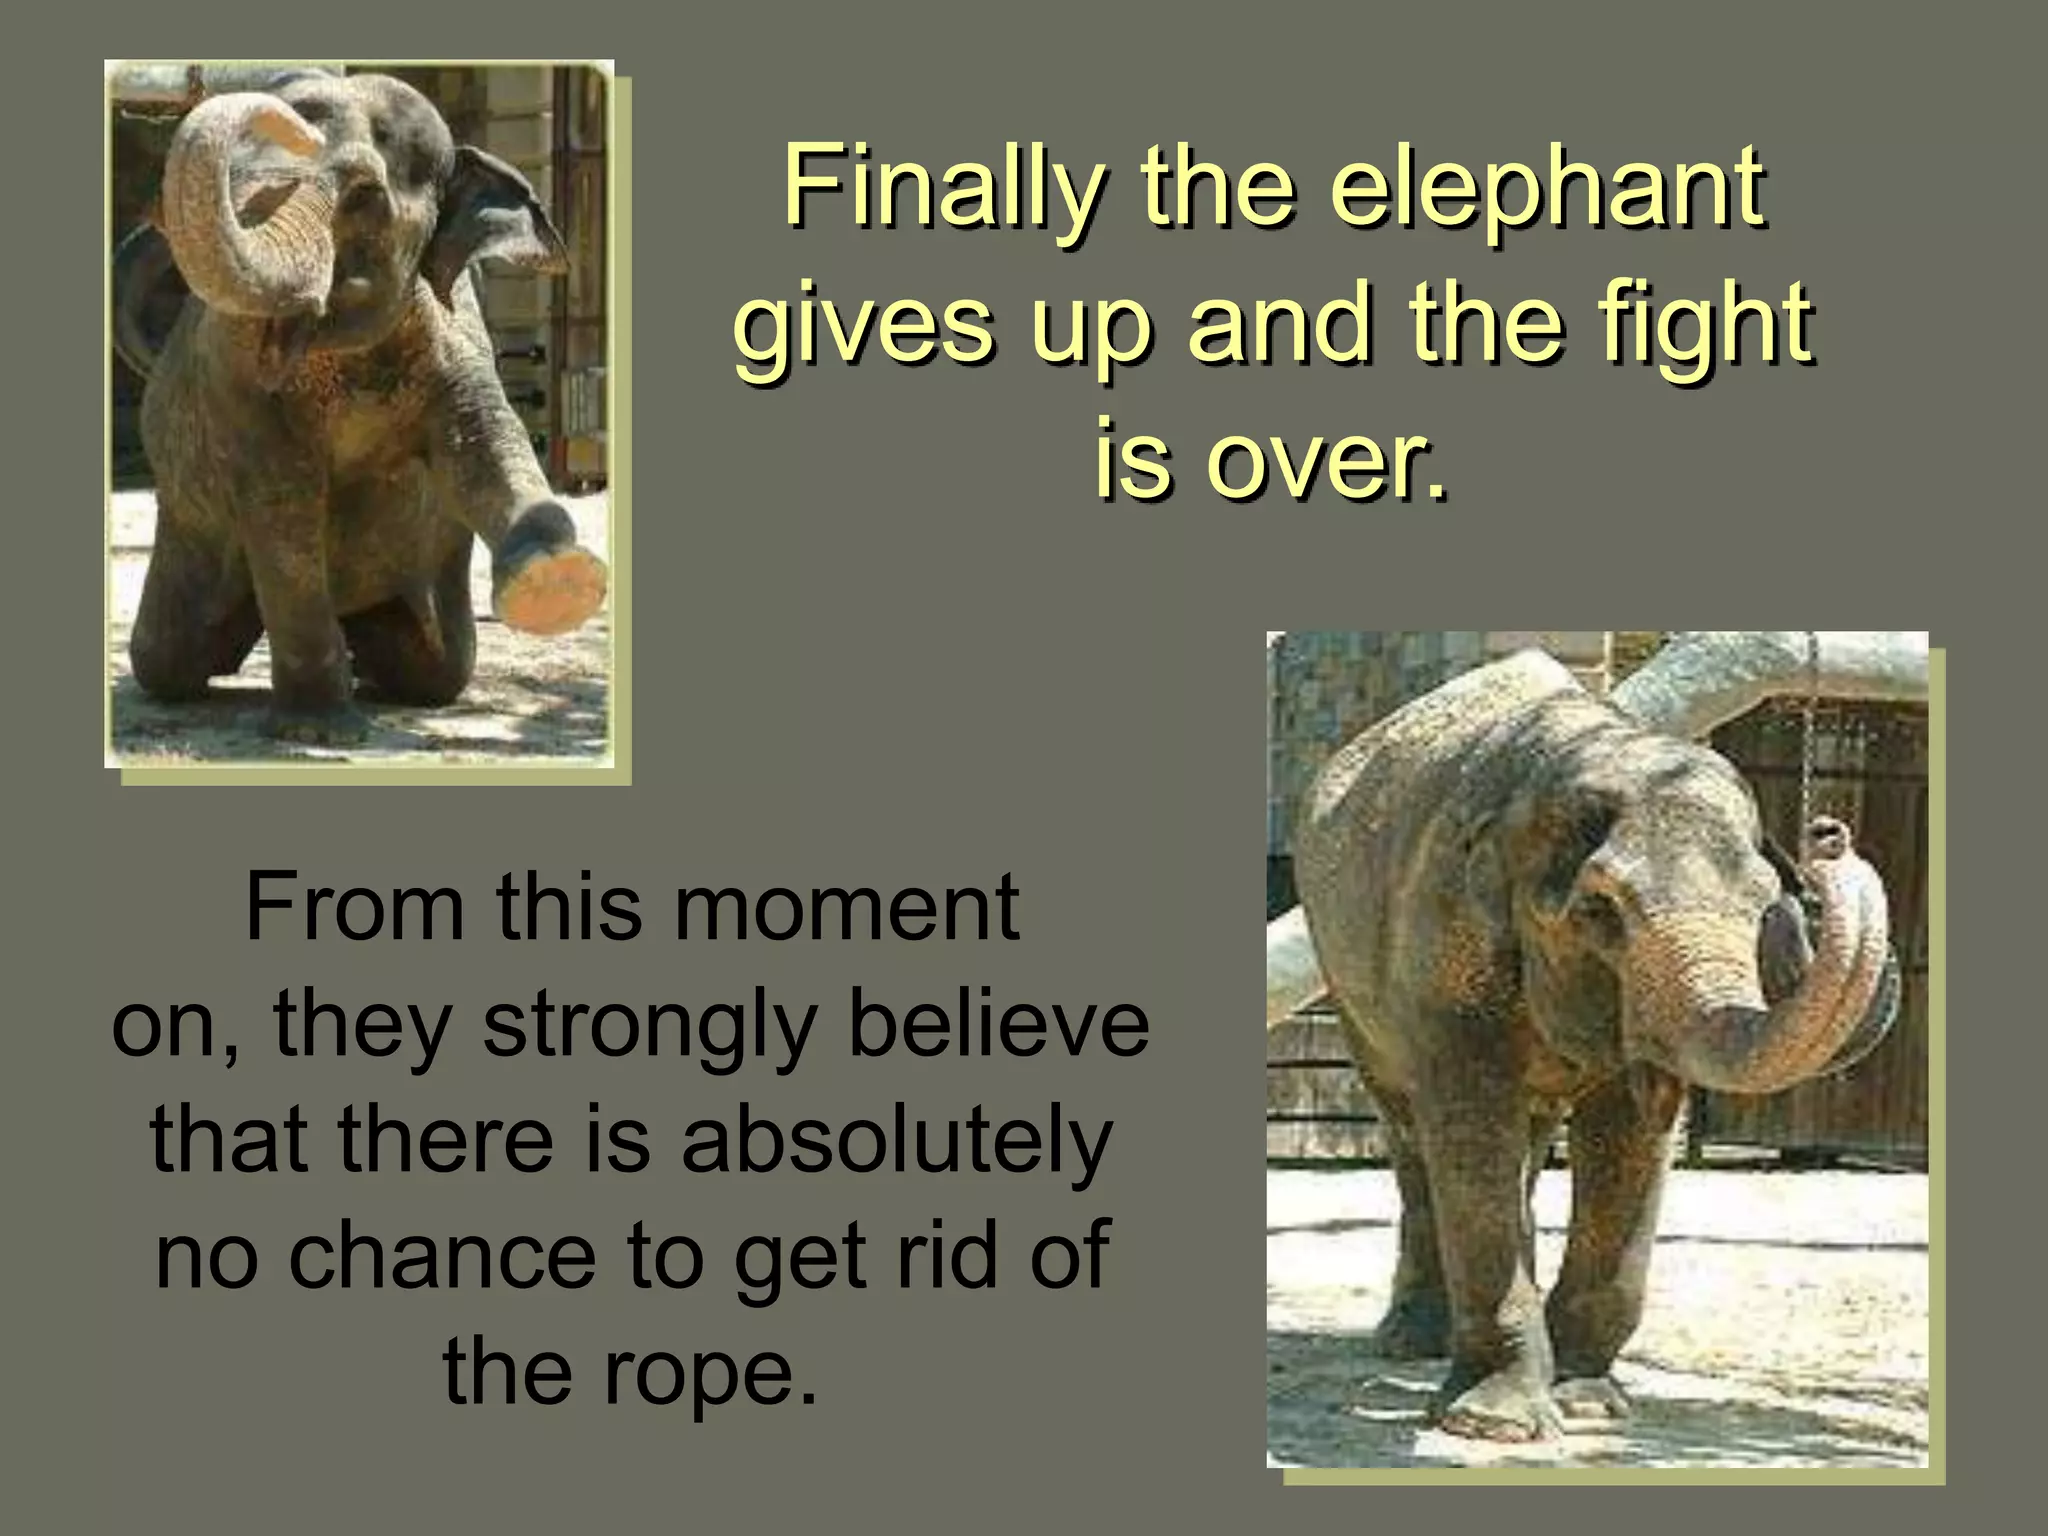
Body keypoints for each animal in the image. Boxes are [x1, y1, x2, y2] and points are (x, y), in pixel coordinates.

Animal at [112, 68, 608, 743]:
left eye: (365, 195)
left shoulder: (454, 339)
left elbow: (478, 445)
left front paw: (557, 578)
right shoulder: (235, 375)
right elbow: (279, 501)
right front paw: (320, 733)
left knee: (440, 670)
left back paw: (379, 676)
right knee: (164, 659)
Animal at [1287, 649, 1898, 1441]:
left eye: (1765, 900)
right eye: (1600, 911)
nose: (1829, 833)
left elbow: (1629, 1132)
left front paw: (1588, 1404)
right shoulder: (1443, 947)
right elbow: (1468, 1118)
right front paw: (1497, 1425)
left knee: (1525, 1138)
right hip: (1347, 981)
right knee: (1409, 1126)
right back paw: (1412, 1342)